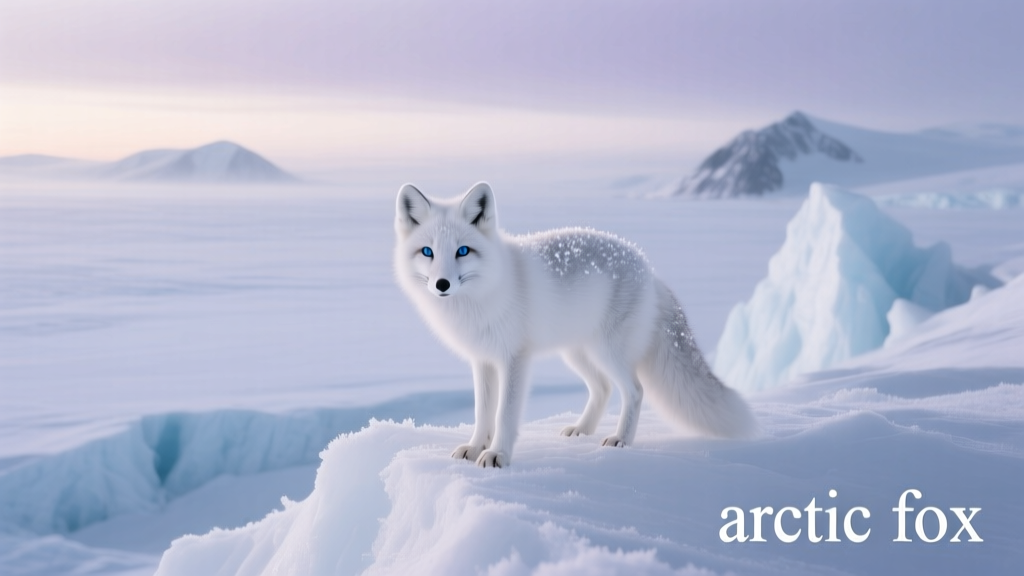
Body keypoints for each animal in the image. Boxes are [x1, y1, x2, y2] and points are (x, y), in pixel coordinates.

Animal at [394, 182, 756, 468]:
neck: (481, 296)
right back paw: (582, 429)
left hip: (608, 352)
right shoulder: (482, 360)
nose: (442, 284)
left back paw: (621, 439)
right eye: (427, 252)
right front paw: (474, 447)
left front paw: (498, 455)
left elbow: (504, 414)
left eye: (462, 251)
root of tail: (650, 271)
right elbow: (482, 412)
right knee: (603, 388)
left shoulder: (514, 359)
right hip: (578, 353)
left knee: (634, 391)